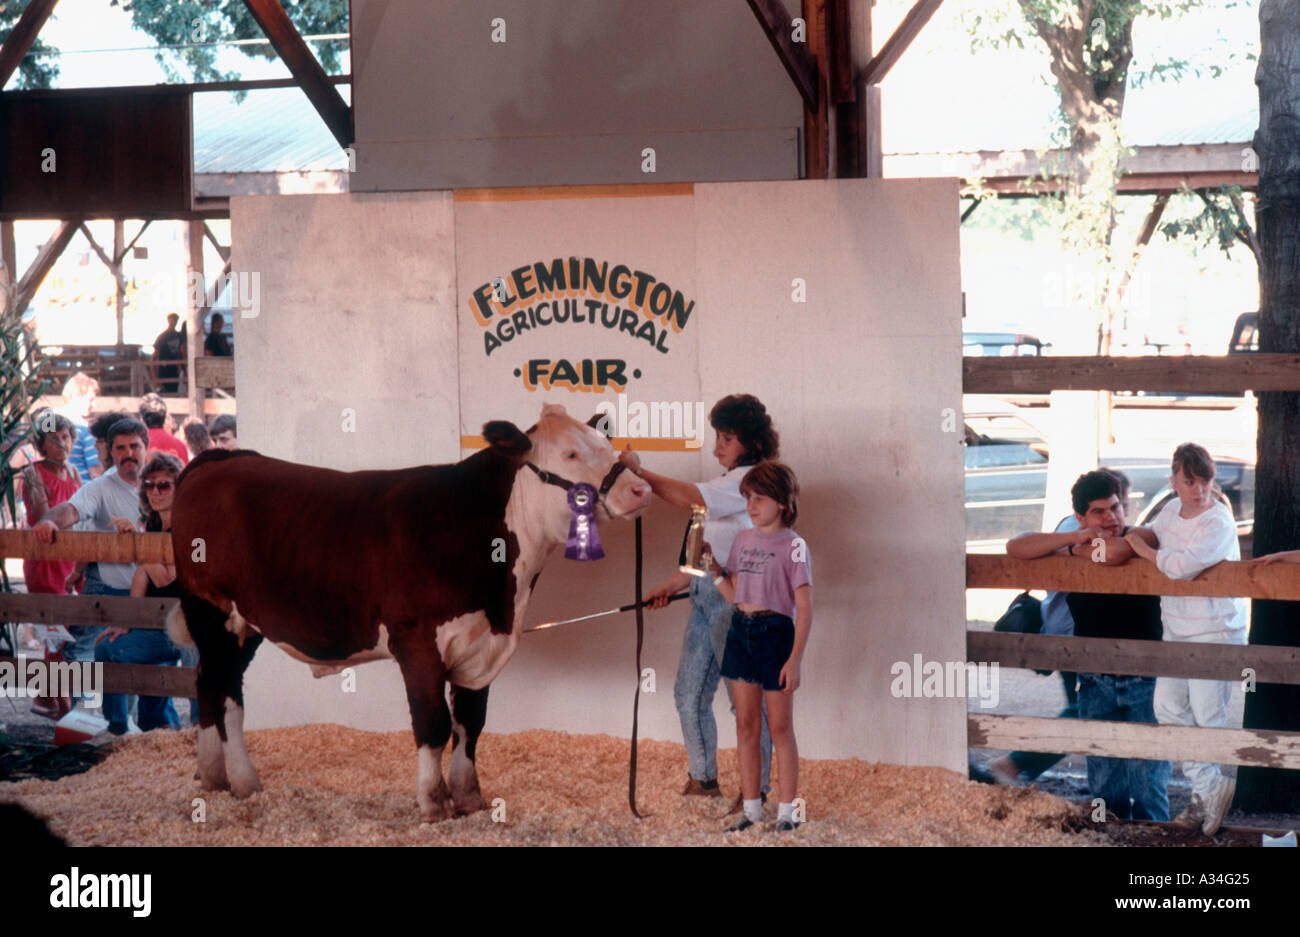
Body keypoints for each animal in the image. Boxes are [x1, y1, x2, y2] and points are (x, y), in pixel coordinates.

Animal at [167, 404, 652, 821]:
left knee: (207, 684)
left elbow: (470, 724)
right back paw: (244, 782)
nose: (640, 488)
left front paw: (469, 798)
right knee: (225, 691)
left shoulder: (480, 647)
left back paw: (212, 777)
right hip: (211, 610)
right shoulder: (417, 642)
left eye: (607, 446)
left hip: (244, 624)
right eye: (570, 453)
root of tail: (218, 460)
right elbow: (434, 725)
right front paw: (434, 803)